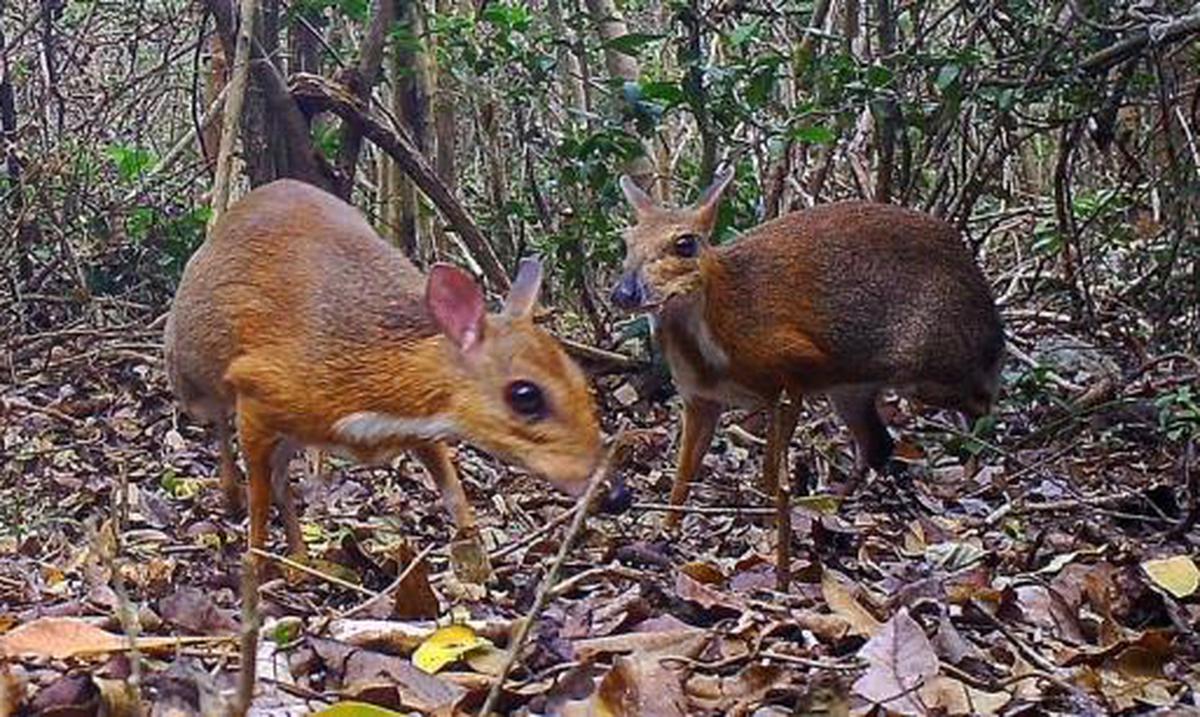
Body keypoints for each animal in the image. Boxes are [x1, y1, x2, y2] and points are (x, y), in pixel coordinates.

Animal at [610, 170, 1004, 530]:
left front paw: (771, 522)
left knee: (985, 404)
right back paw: (833, 505)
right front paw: (666, 530)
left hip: (934, 368)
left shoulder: (791, 371)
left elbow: (770, 469)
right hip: (851, 389)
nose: (623, 293)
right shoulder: (699, 400)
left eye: (685, 243)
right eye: (626, 243)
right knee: (878, 444)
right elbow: (682, 476)